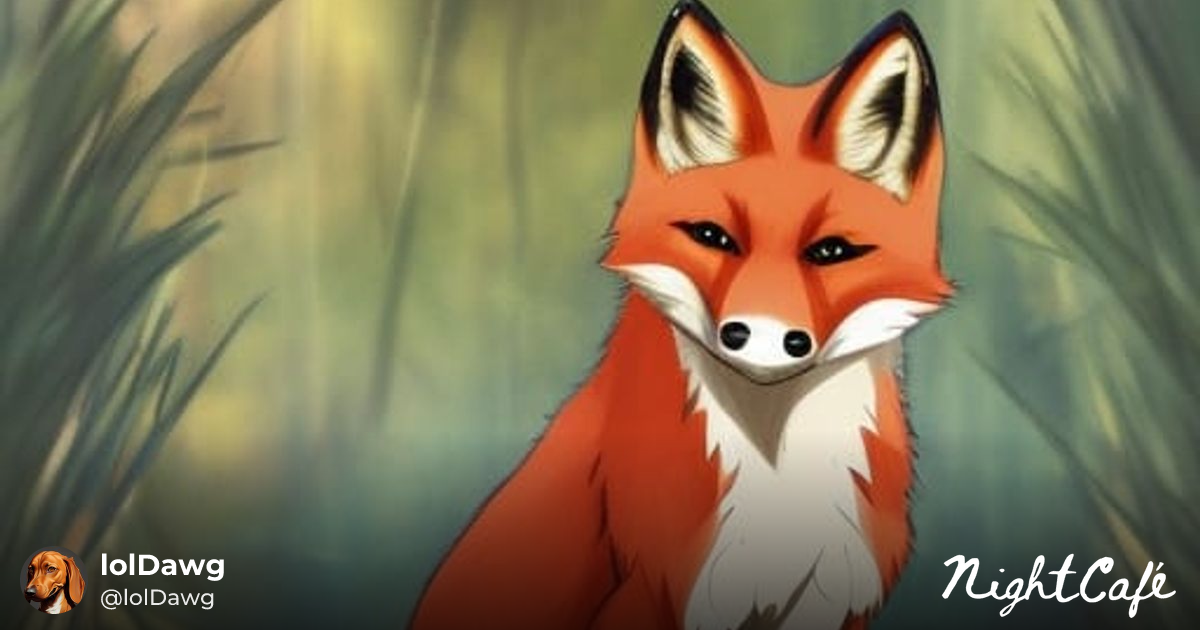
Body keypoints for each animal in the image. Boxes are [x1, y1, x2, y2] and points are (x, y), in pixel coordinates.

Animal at [410, 2, 950, 629]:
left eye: (830, 251)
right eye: (713, 237)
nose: (759, 335)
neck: (780, 484)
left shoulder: (834, 598)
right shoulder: (659, 594)